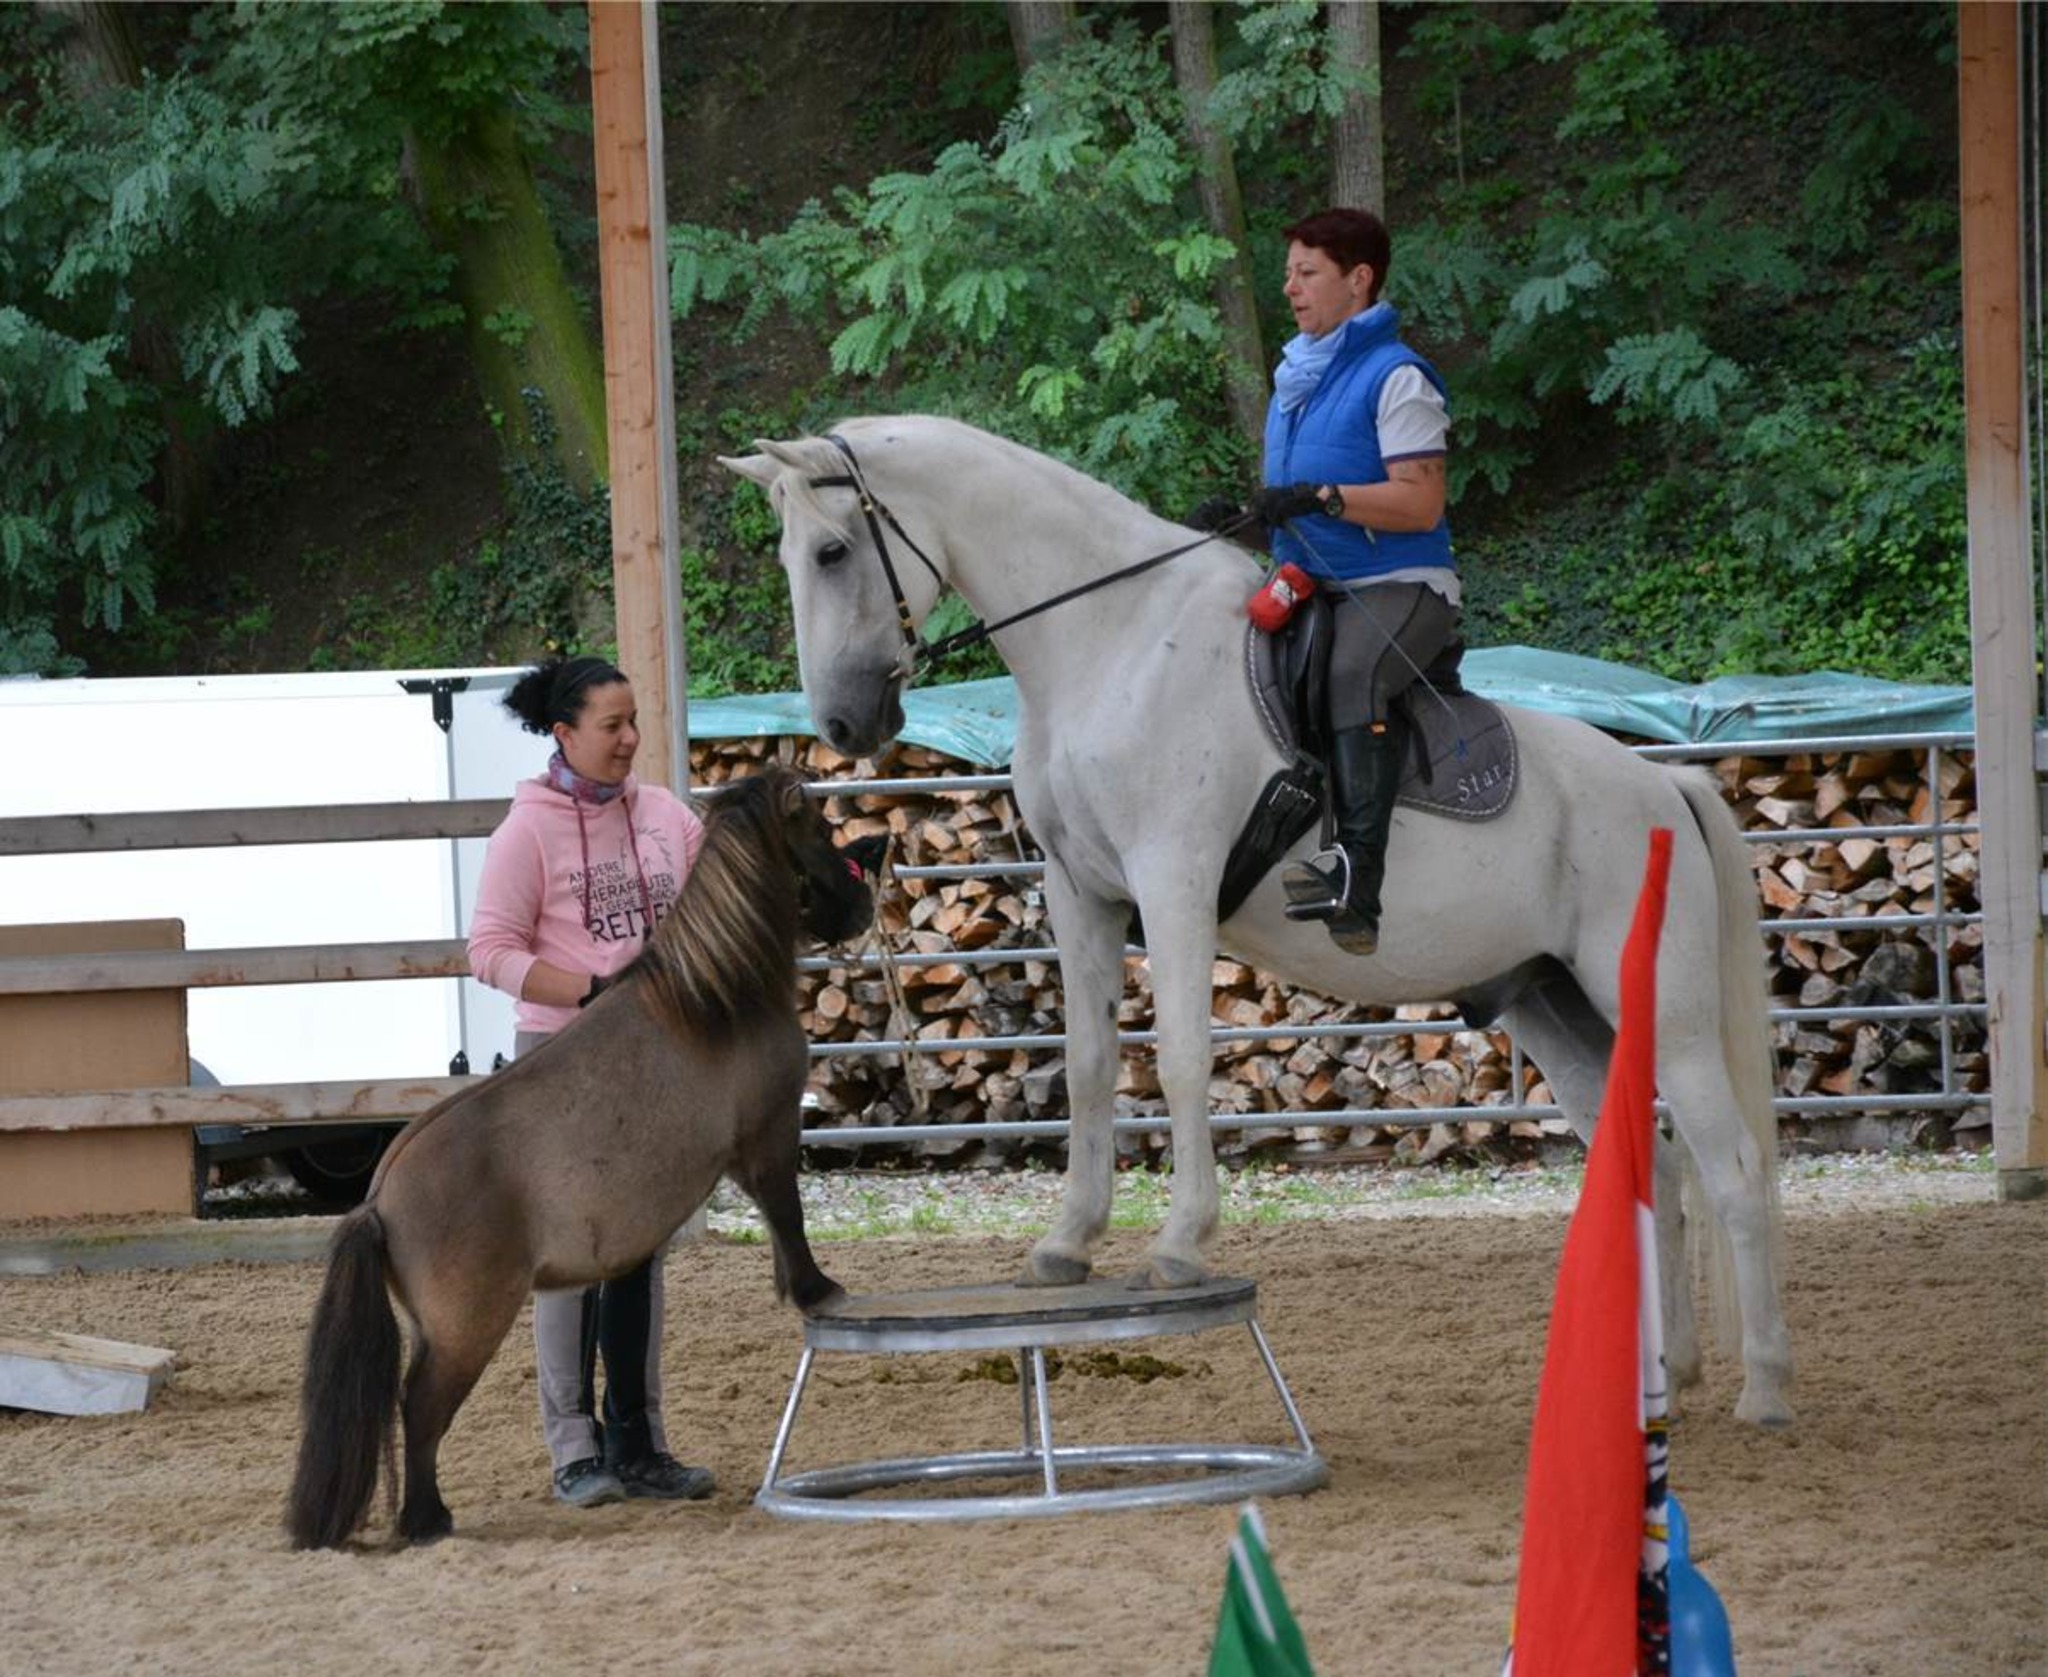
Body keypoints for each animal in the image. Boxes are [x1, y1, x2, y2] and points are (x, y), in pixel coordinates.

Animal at [285, 766, 874, 1548]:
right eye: (817, 824)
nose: (863, 897)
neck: (713, 1001)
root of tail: (378, 1198)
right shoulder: (767, 1137)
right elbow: (789, 1214)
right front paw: (816, 1290)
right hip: (467, 1329)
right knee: (419, 1407)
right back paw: (427, 1519)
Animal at [719, 416, 1793, 1428]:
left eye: (832, 553)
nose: (843, 726)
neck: (1110, 639)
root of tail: (1663, 786)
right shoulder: (1079, 892)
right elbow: (1089, 1065)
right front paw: (1067, 1245)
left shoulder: (1174, 885)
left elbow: (1182, 1061)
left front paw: (1180, 1245)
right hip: (1557, 1006)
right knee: (1659, 1165)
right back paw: (1663, 1379)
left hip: (1668, 1014)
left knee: (1734, 1169)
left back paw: (1763, 1389)